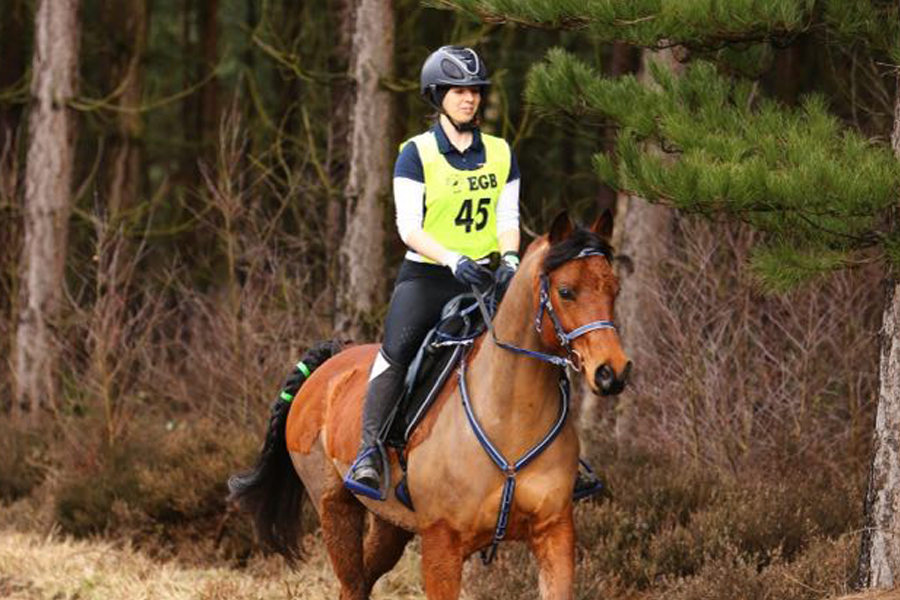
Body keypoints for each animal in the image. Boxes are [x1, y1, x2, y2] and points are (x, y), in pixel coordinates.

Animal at [229, 210, 631, 600]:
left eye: (614, 289)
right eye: (566, 291)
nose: (612, 372)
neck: (511, 416)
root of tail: (327, 366)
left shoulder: (555, 533)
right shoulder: (442, 543)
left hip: (390, 524)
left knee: (360, 583)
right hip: (334, 508)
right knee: (351, 582)